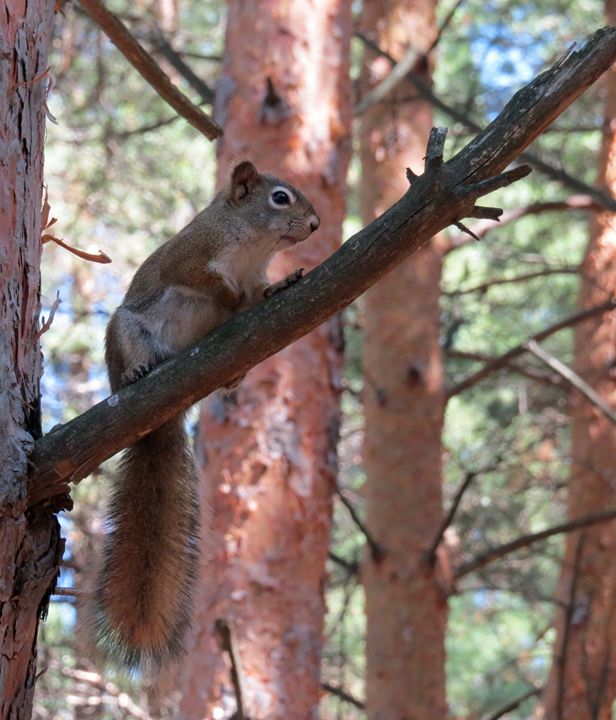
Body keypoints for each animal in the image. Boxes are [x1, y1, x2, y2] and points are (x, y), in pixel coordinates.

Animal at [90, 161, 320, 670]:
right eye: (279, 198)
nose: (316, 225)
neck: (253, 246)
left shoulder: (255, 277)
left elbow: (258, 293)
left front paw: (282, 284)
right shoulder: (191, 253)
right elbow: (201, 277)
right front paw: (227, 292)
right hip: (125, 331)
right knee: (128, 353)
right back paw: (135, 372)